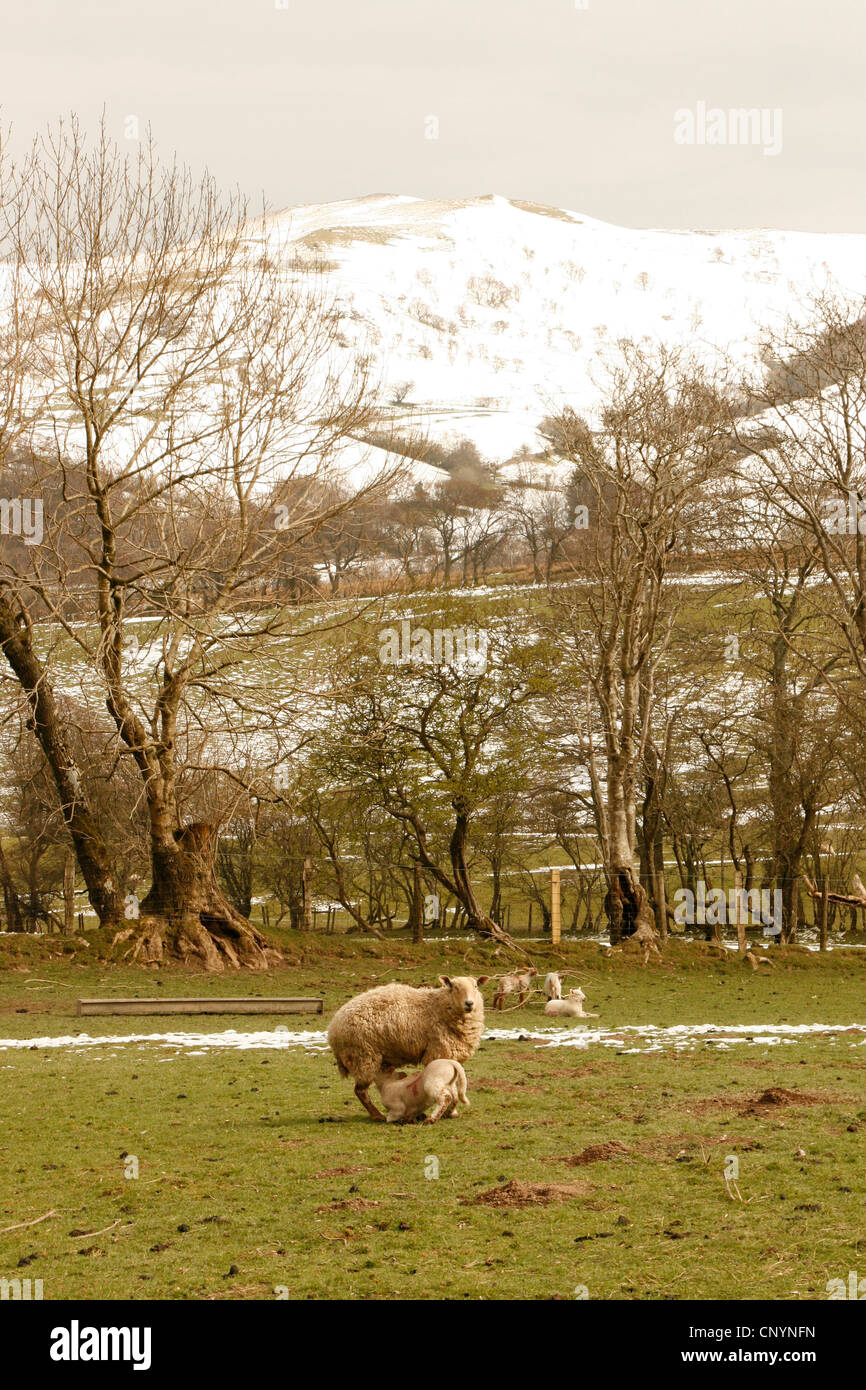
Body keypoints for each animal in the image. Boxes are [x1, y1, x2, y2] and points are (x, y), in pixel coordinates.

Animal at [327, 975, 488, 1120]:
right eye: (455, 987)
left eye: (476, 986)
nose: (469, 1003)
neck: (438, 1006)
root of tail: (333, 1026)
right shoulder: (439, 1053)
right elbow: (451, 1087)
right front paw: (449, 1111)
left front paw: (452, 1112)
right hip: (364, 1057)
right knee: (360, 1091)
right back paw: (377, 1115)